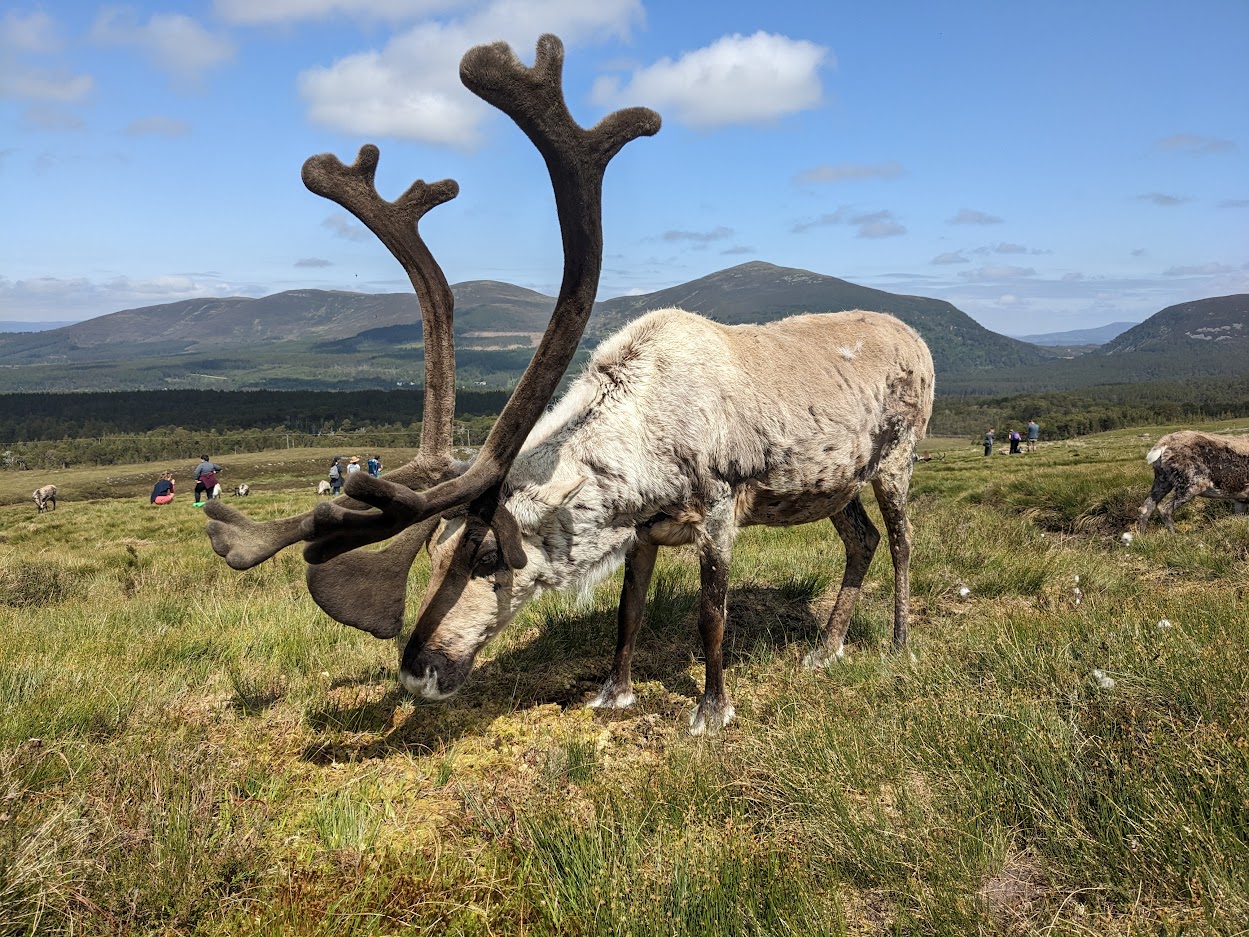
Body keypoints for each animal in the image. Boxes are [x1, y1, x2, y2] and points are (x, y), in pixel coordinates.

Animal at [203, 34, 934, 734]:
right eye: (432, 553)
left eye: (488, 555)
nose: (415, 672)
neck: (647, 435)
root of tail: (915, 335)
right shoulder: (644, 531)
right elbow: (629, 611)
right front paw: (614, 692)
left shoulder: (720, 511)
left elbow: (711, 615)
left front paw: (711, 709)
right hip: (832, 481)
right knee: (861, 539)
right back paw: (825, 647)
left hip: (895, 460)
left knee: (900, 542)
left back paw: (898, 644)